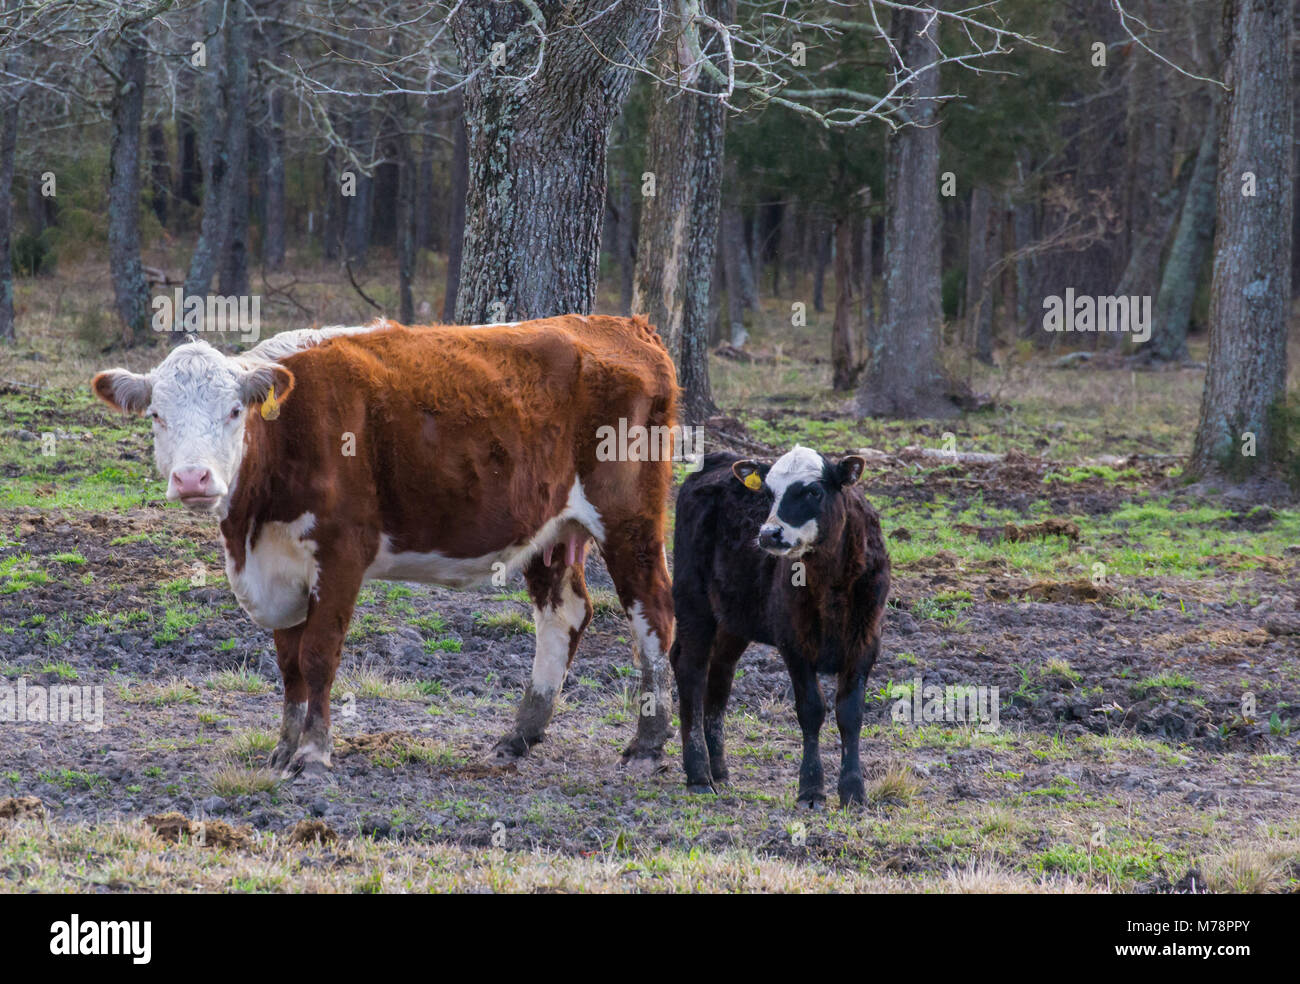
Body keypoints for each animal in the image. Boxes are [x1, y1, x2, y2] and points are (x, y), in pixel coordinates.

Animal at [92, 316, 677, 778]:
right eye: (157, 415)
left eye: (235, 412)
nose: (193, 478)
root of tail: (621, 325)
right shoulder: (280, 570)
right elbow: (289, 664)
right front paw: (283, 748)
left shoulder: (341, 553)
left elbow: (318, 655)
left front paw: (313, 753)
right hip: (551, 530)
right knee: (564, 615)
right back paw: (519, 736)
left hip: (630, 517)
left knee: (653, 614)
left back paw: (647, 745)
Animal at [668, 447, 890, 807]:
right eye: (769, 494)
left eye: (813, 491)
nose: (768, 534)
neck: (830, 581)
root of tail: (716, 459)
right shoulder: (794, 642)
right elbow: (811, 710)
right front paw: (811, 789)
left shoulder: (866, 641)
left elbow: (850, 713)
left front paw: (853, 790)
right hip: (693, 598)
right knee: (691, 668)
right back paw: (699, 774)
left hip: (734, 617)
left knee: (720, 673)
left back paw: (720, 771)